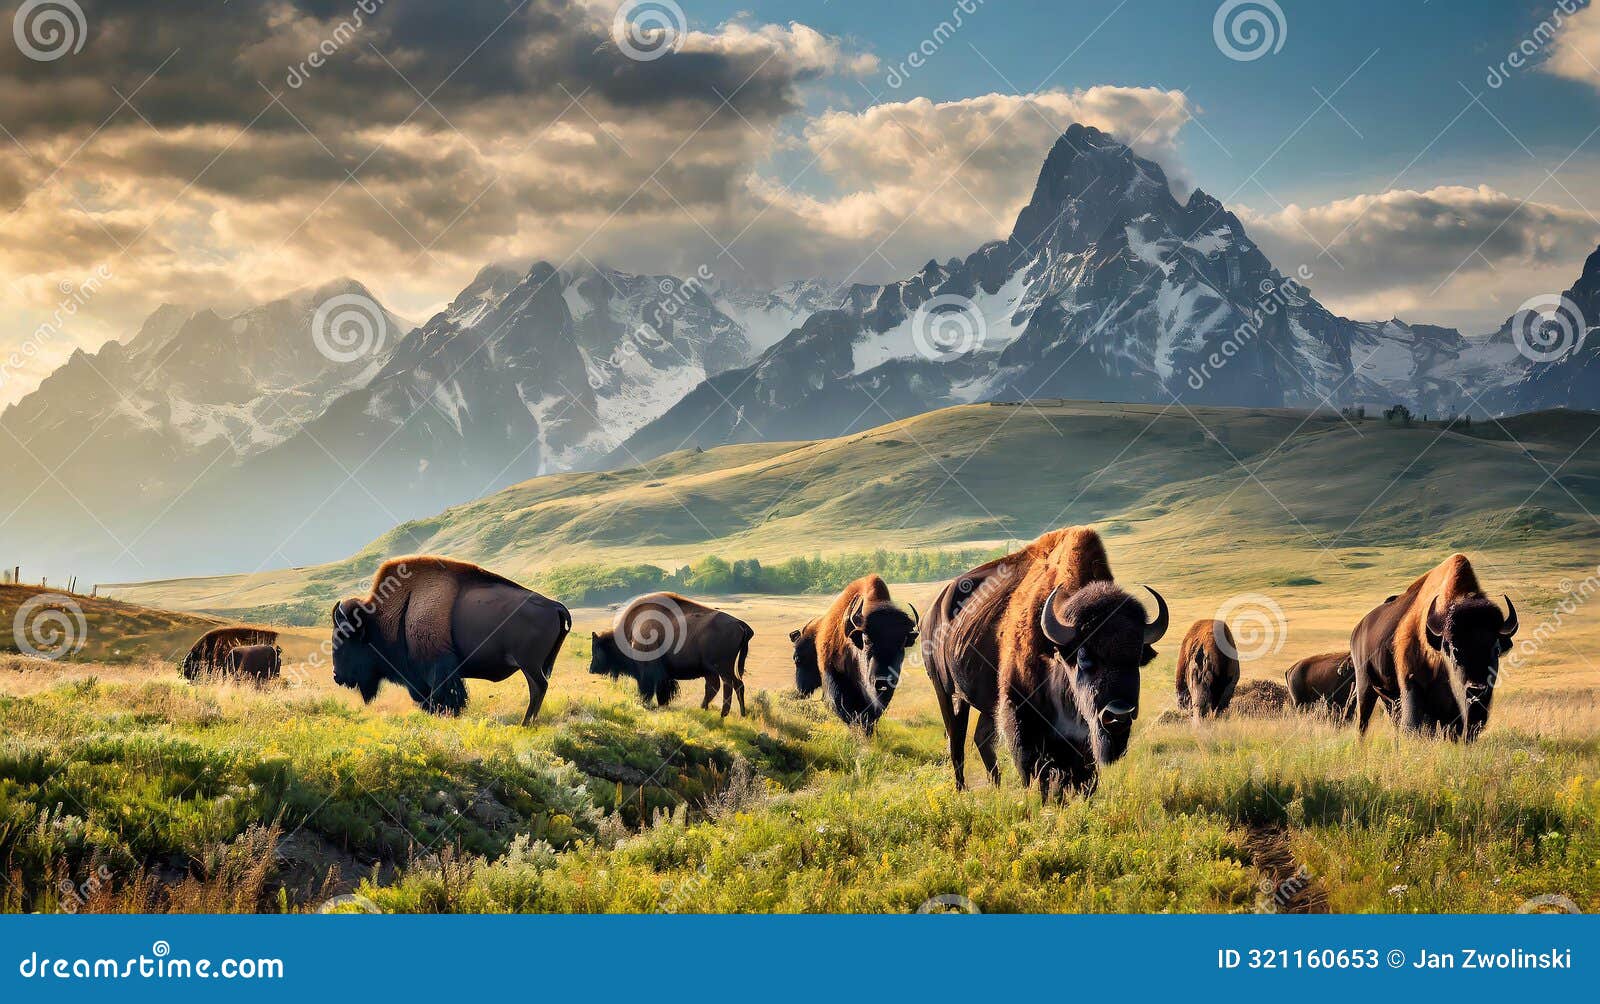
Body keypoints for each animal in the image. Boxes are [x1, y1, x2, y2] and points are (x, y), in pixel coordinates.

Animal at [331, 556, 571, 723]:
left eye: (343, 638)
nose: (336, 676)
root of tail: (555, 606)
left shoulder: (437, 669)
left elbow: (445, 696)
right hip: (537, 665)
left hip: (529, 665)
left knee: (537, 687)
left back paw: (525, 723)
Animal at [590, 592, 754, 716]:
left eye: (597, 649)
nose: (591, 669)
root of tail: (740, 624)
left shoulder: (648, 670)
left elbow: (648, 687)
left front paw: (645, 702)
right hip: (713, 670)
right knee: (724, 686)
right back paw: (725, 711)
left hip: (722, 668)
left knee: (730, 685)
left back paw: (723, 714)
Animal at [923, 527, 1167, 796]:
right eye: (1084, 657)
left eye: (1136, 657)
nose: (1119, 715)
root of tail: (930, 613)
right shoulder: (1020, 711)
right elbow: (1034, 768)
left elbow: (1083, 771)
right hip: (946, 693)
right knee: (956, 739)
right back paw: (961, 789)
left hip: (985, 702)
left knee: (981, 738)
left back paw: (996, 785)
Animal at [1350, 554, 1517, 741]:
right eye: (1453, 649)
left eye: (1496, 650)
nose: (1477, 689)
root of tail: (1358, 628)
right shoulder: (1411, 682)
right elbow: (1415, 725)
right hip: (1364, 684)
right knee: (1363, 720)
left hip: (1388, 695)